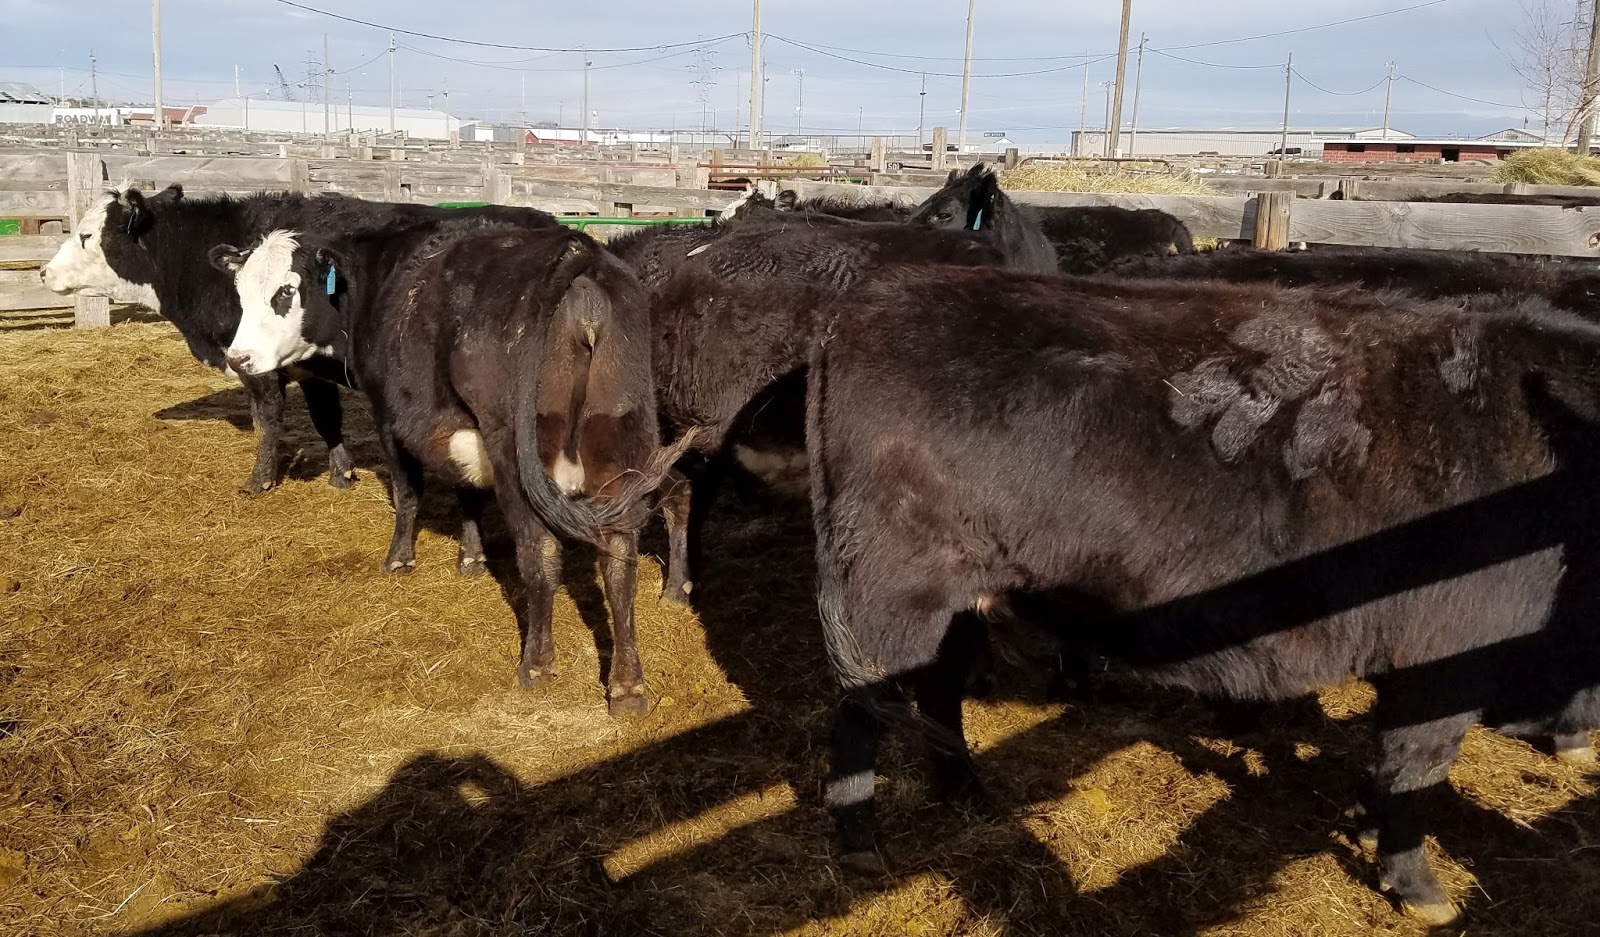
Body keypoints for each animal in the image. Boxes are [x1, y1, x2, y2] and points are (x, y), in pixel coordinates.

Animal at [38, 183, 558, 495]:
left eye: (87, 235)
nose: (43, 273)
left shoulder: (256, 362)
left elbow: (268, 420)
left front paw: (259, 480)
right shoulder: (309, 367)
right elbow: (326, 418)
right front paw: (342, 473)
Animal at [210, 219, 688, 714]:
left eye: (286, 291)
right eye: (241, 291)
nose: (237, 358)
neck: (375, 277)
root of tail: (579, 252)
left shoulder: (389, 415)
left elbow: (407, 491)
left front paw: (399, 558)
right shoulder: (462, 427)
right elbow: (467, 490)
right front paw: (471, 556)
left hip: (519, 458)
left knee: (540, 554)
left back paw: (536, 663)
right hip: (620, 447)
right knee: (619, 562)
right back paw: (628, 684)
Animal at [806, 266, 1600, 925]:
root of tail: (867, 303)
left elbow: (1389, 764)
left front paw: (1371, 830)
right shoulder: (1447, 661)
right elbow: (1418, 767)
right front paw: (1419, 887)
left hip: (957, 599)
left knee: (936, 688)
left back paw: (964, 788)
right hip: (886, 596)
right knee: (861, 707)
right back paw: (860, 840)